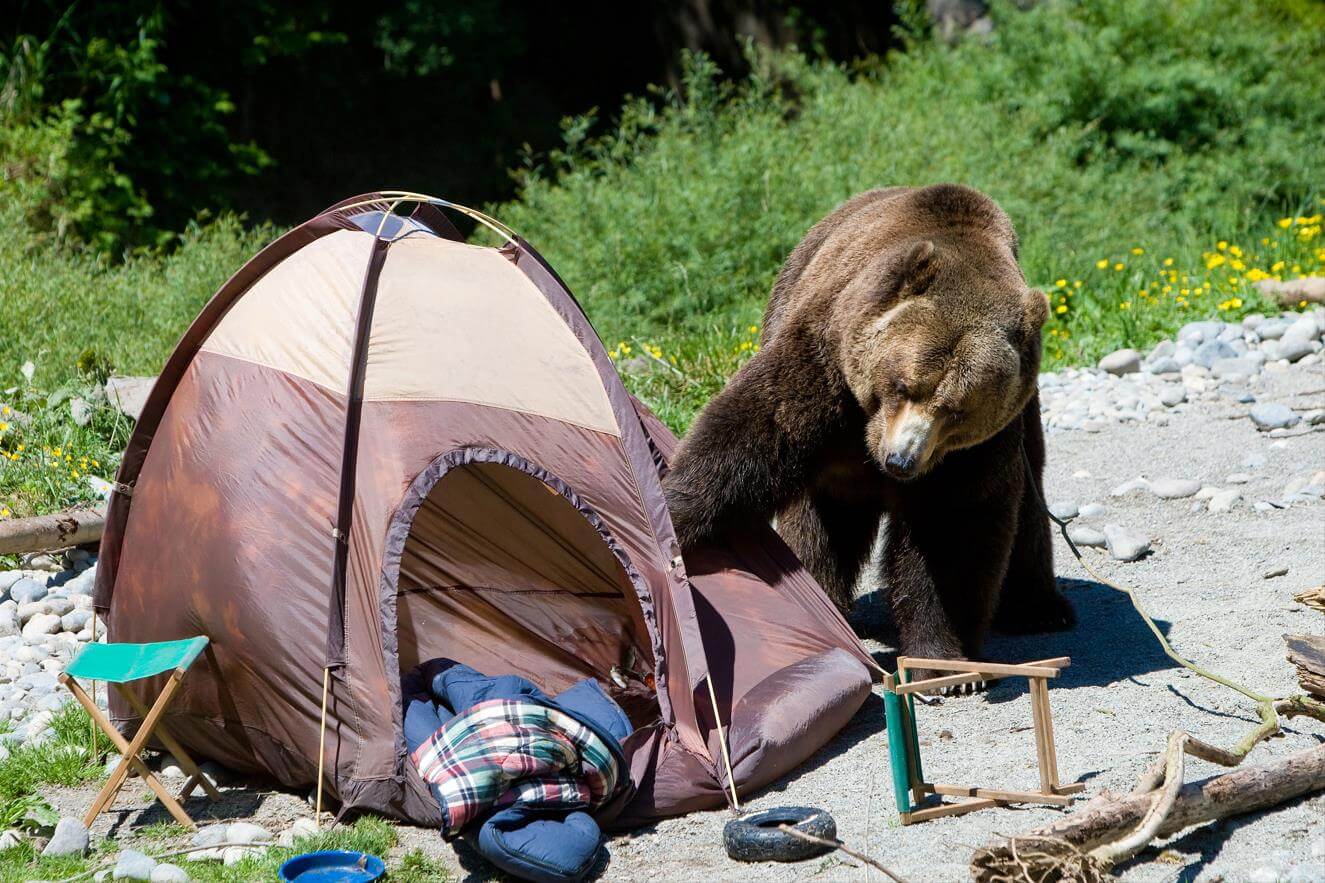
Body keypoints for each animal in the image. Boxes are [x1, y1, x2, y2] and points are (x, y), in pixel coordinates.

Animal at [663, 184, 1074, 685]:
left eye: (957, 410)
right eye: (905, 384)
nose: (901, 460)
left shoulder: (972, 450)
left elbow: (951, 527)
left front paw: (943, 663)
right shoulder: (829, 363)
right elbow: (755, 433)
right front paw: (677, 518)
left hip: (1026, 422)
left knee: (1030, 502)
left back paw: (1040, 607)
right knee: (817, 527)